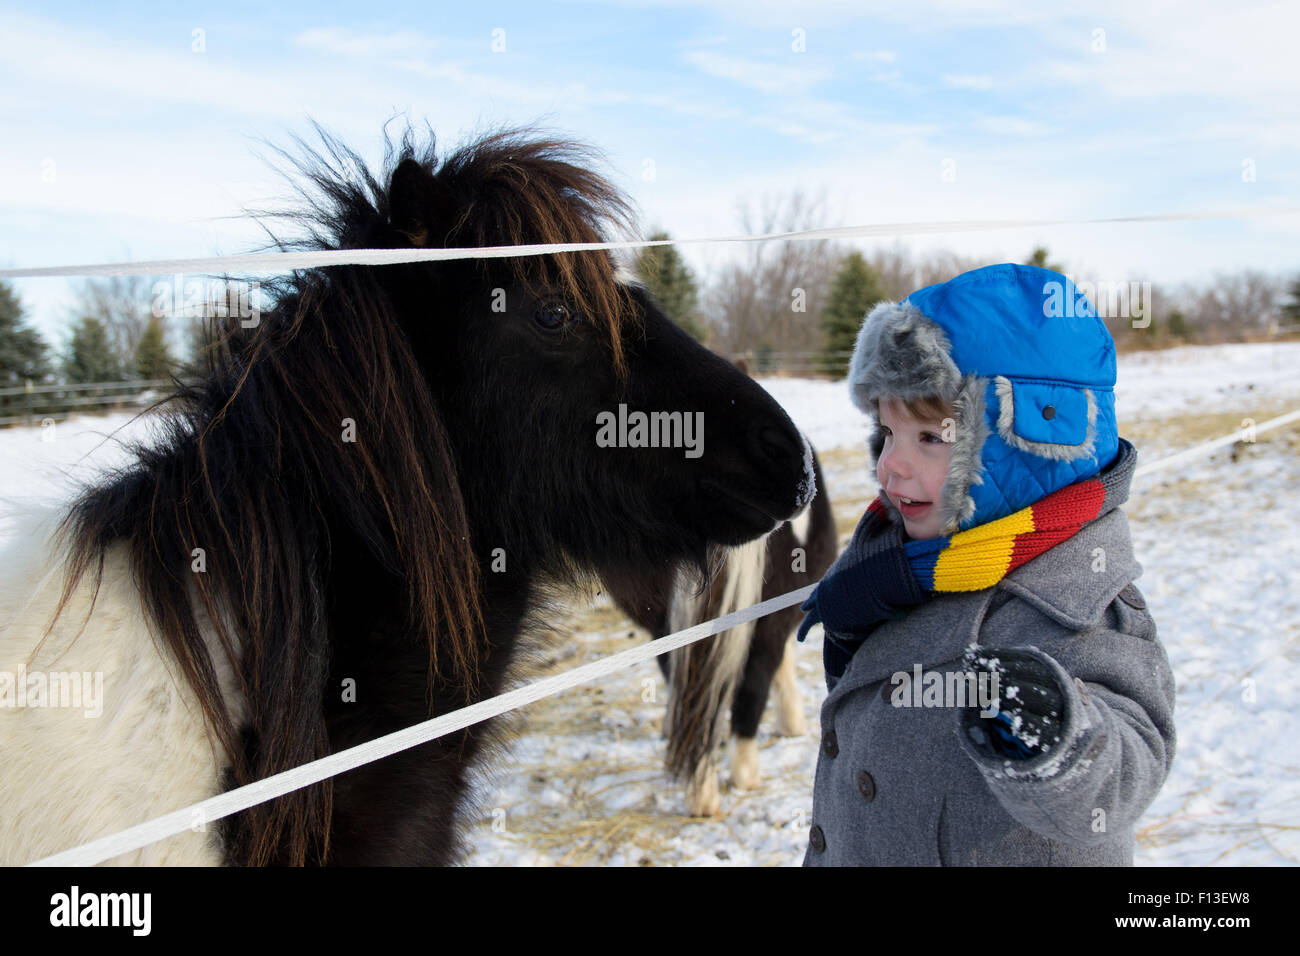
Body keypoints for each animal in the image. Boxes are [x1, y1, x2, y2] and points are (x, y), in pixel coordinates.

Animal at [608, 418, 836, 816]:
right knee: (751, 686)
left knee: (690, 688)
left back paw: (701, 791)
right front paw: (791, 722)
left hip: (664, 624)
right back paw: (742, 777)